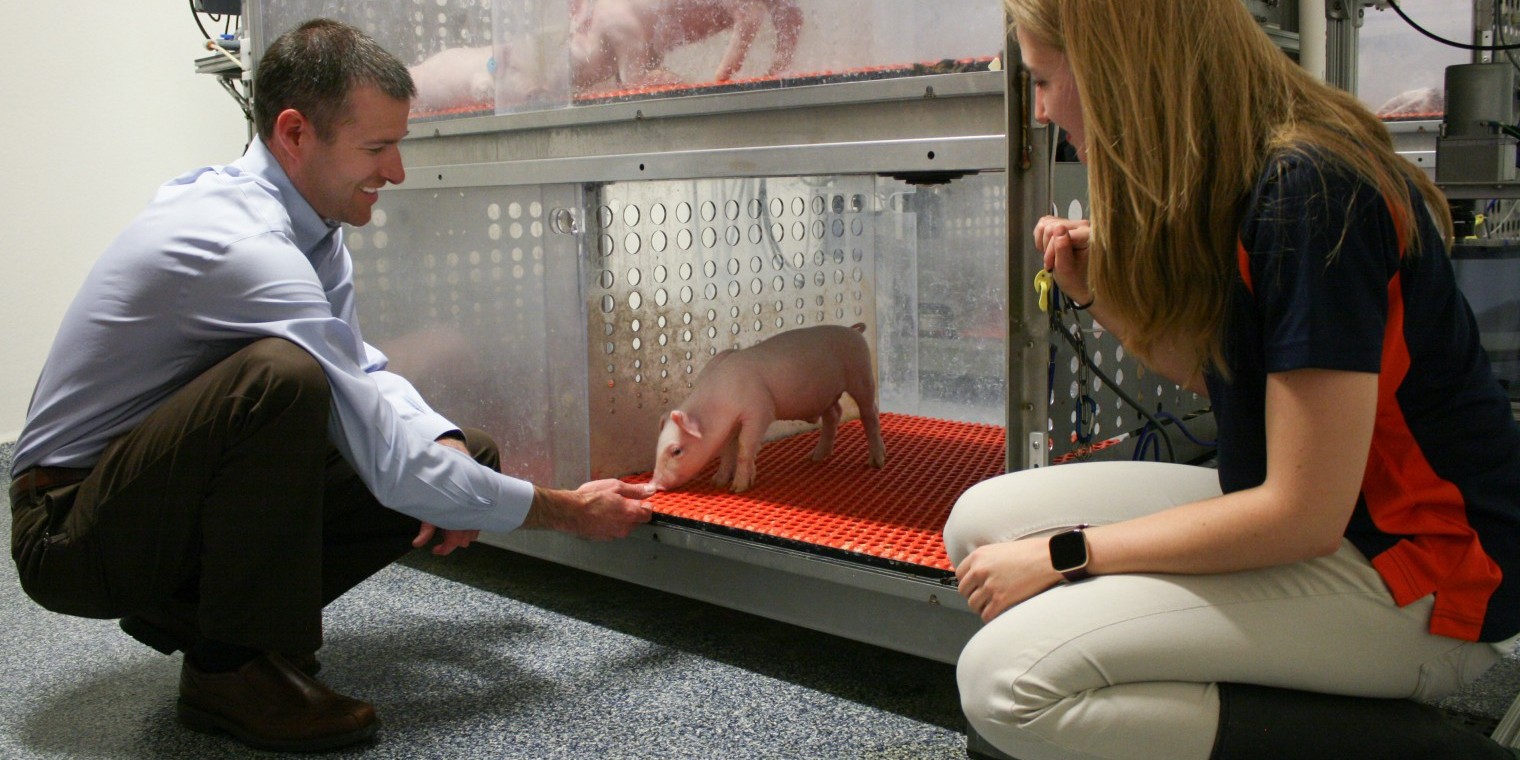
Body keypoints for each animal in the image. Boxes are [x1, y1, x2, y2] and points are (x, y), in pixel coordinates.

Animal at [651, 322, 886, 493]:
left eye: (676, 450)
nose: (655, 485)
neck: (721, 397)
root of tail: (853, 330)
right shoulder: (732, 424)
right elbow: (728, 450)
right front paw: (717, 482)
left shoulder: (759, 410)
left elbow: (744, 446)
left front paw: (738, 488)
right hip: (826, 395)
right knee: (834, 414)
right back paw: (815, 457)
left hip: (862, 374)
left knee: (870, 413)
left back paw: (876, 463)